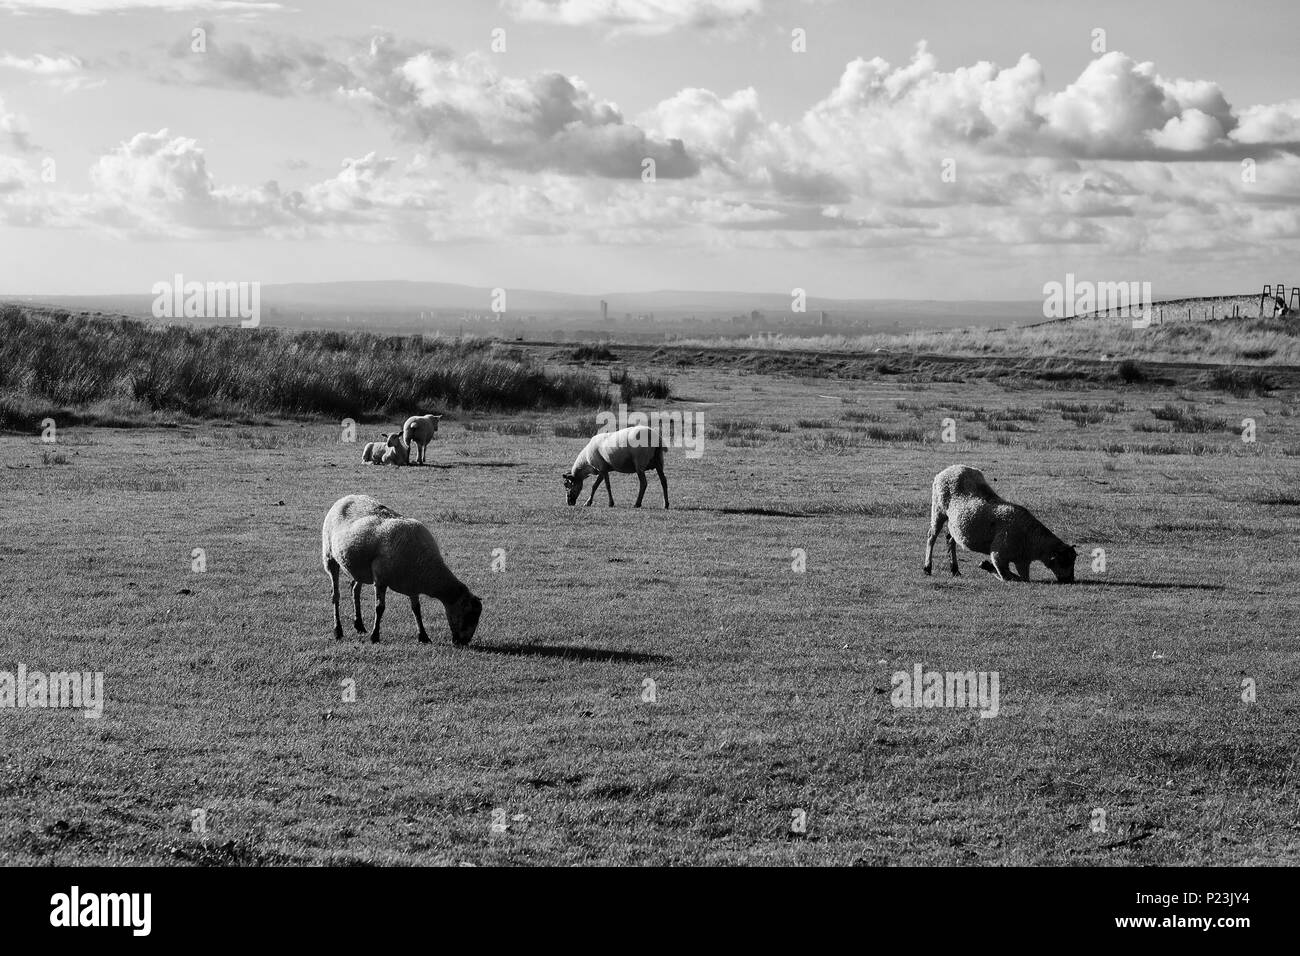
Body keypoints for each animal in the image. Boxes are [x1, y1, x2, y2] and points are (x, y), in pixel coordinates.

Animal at [321, 494, 483, 645]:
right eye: (470, 616)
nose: (463, 642)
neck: (426, 567)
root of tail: (347, 497)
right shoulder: (380, 578)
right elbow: (380, 607)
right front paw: (375, 636)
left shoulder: (412, 583)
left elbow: (416, 609)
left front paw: (423, 636)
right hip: (329, 557)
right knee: (335, 595)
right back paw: (338, 631)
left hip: (358, 568)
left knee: (355, 589)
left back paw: (359, 625)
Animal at [923, 464, 1077, 583]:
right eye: (1064, 561)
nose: (1070, 580)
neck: (1032, 539)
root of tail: (950, 468)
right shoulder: (999, 555)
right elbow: (1007, 577)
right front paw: (986, 565)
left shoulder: (1022, 562)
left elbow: (1023, 578)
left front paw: (986, 566)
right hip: (938, 509)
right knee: (931, 537)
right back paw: (927, 568)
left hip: (953, 521)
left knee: (950, 540)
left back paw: (955, 570)